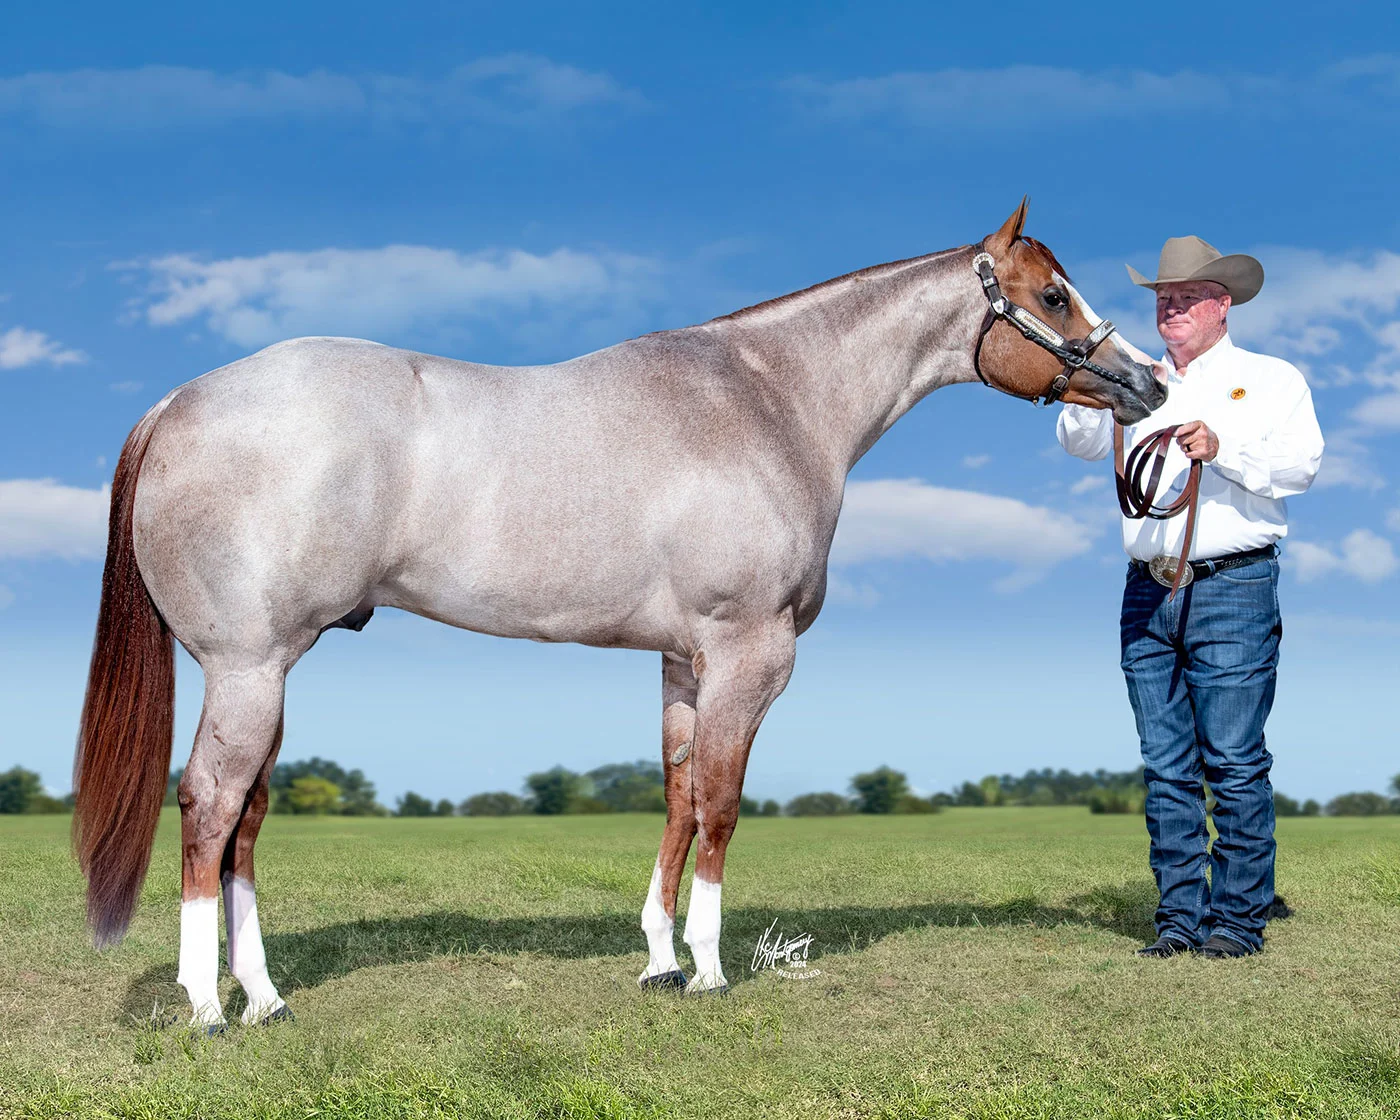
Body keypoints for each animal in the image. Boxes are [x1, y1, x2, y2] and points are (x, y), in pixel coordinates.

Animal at [73, 200, 1166, 1030]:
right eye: (1053, 294)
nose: (1146, 382)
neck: (768, 403)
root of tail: (180, 401)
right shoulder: (750, 653)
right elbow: (721, 805)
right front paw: (713, 969)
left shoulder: (683, 662)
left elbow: (677, 800)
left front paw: (660, 962)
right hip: (247, 667)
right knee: (209, 807)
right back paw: (207, 1007)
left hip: (266, 674)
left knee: (246, 821)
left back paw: (263, 997)